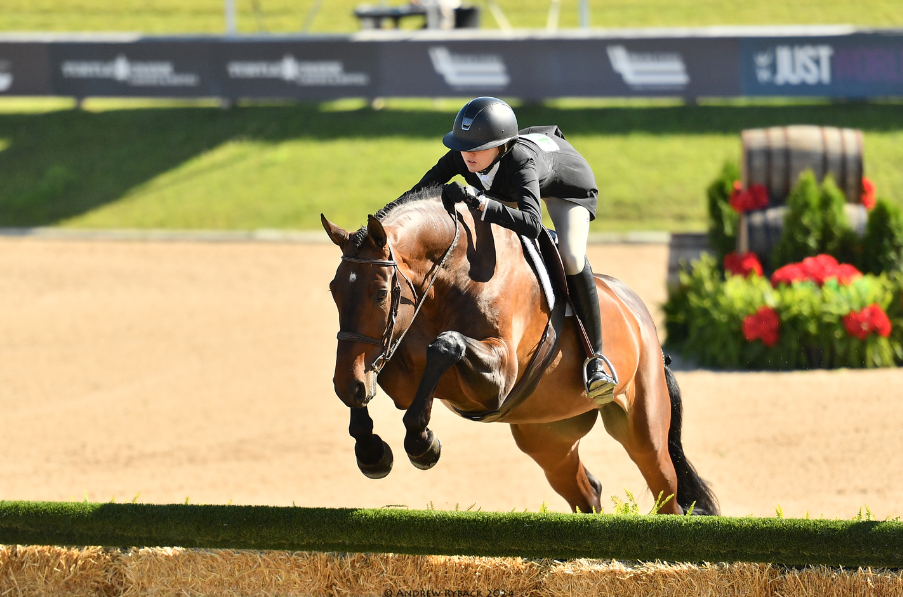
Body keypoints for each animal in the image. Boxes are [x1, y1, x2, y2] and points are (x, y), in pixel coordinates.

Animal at [321, 185, 718, 515]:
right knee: (586, 491)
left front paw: (422, 444)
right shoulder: (399, 366)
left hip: (644, 429)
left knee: (666, 490)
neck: (452, 277)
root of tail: (640, 317)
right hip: (548, 438)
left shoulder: (498, 378)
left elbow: (446, 345)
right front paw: (371, 450)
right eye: (333, 291)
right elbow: (379, 376)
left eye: (380, 294)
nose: (344, 385)